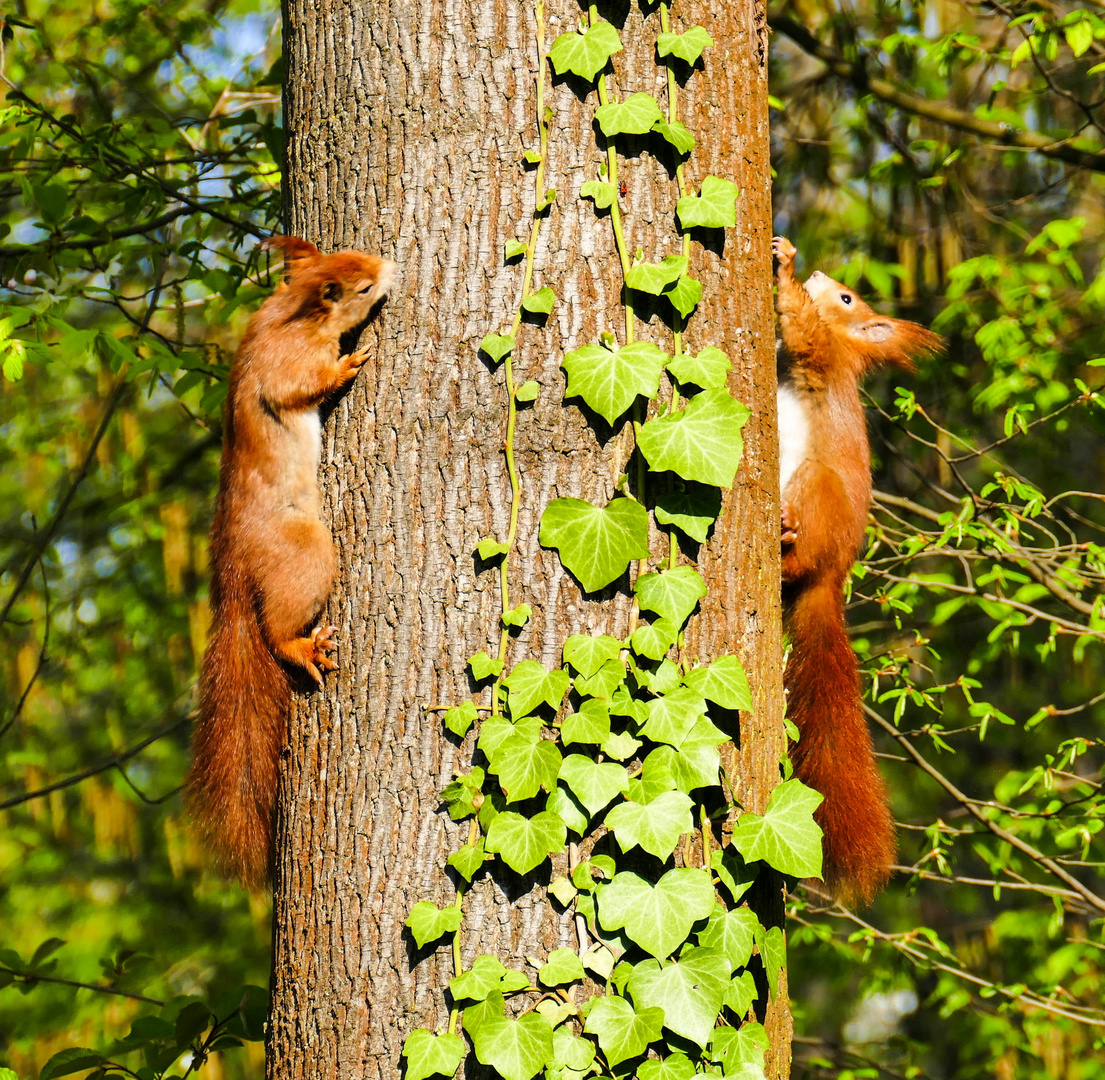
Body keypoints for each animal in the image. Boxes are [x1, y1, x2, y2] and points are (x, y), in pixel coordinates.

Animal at [186, 236, 396, 888]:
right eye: (359, 286)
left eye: (353, 255)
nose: (390, 268)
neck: (287, 313)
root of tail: (232, 569)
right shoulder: (286, 360)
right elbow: (298, 385)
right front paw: (350, 365)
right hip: (308, 552)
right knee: (278, 630)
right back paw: (302, 648)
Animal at [772, 235, 943, 905]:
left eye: (846, 298)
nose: (823, 273)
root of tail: (831, 578)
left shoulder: (819, 355)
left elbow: (798, 324)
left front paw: (786, 266)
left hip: (814, 487)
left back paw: (784, 536)